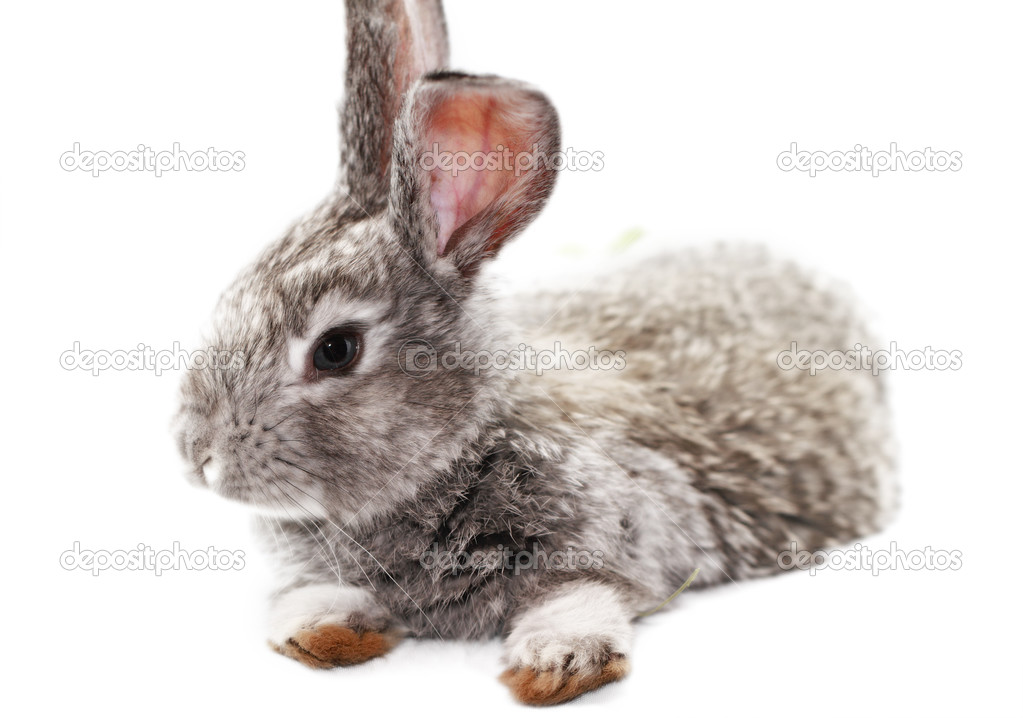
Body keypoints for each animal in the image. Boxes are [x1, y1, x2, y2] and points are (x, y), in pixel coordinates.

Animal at [174, 0, 896, 706]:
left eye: (335, 350)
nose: (196, 458)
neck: (464, 447)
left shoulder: (624, 535)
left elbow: (584, 596)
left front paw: (555, 665)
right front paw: (318, 630)